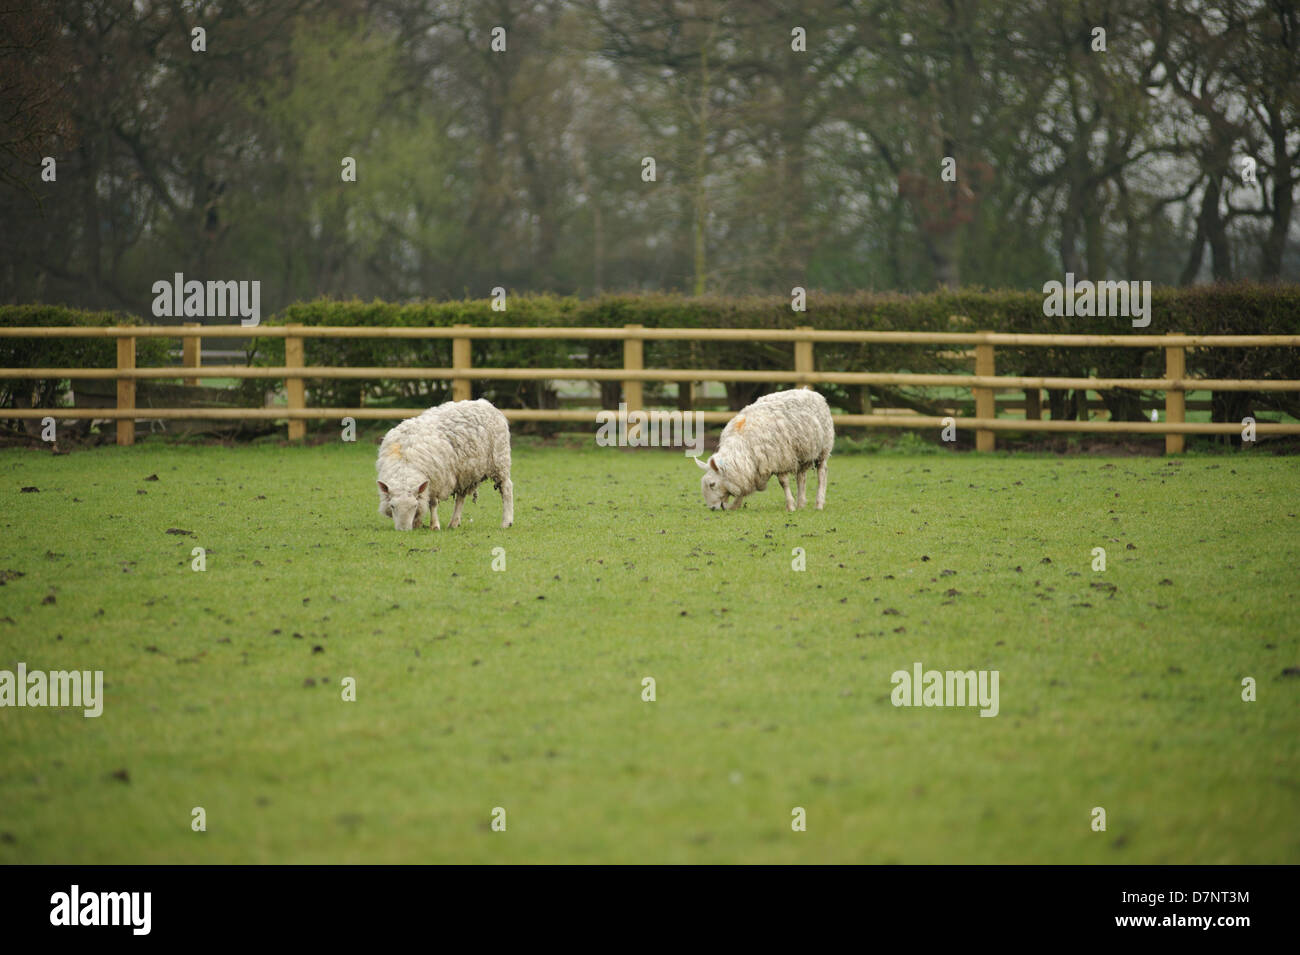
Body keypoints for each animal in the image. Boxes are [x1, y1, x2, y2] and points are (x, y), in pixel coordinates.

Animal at [376, 399, 514, 531]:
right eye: (392, 506)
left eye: (414, 506)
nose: (403, 530)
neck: (404, 461)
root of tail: (486, 404)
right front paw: (417, 524)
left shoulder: (436, 482)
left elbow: (432, 504)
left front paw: (434, 526)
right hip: (464, 471)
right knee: (461, 497)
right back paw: (454, 523)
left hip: (499, 459)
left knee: (506, 488)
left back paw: (506, 522)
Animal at [693, 389, 833, 511]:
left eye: (712, 484)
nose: (712, 508)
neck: (742, 444)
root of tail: (811, 392)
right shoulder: (751, 469)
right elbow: (744, 486)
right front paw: (735, 505)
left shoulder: (779, 459)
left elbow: (783, 483)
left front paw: (790, 506)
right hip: (803, 452)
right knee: (801, 477)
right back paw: (801, 503)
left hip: (823, 448)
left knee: (822, 473)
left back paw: (819, 503)